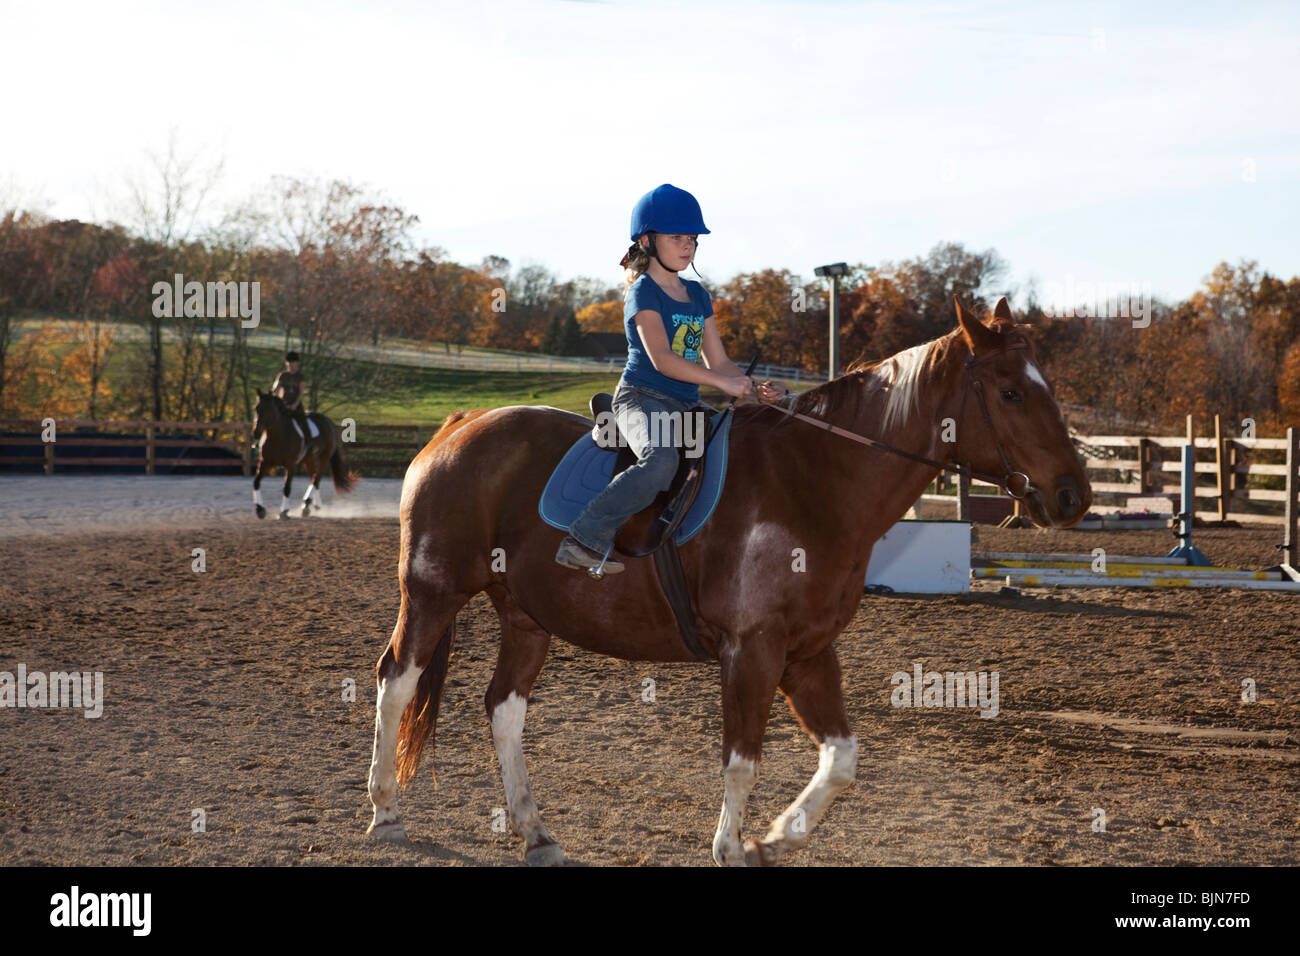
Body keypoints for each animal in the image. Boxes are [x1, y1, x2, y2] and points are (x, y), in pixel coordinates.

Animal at [365, 296, 1092, 866]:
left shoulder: (807, 653)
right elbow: (742, 760)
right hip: (431, 592)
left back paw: (536, 834)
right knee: (396, 681)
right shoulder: (752, 651)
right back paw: (385, 813)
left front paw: (775, 838)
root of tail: (461, 424)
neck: (813, 480)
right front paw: (733, 846)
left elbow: (842, 760)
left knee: (503, 710)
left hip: (527, 617)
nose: (1074, 494)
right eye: (1011, 392)